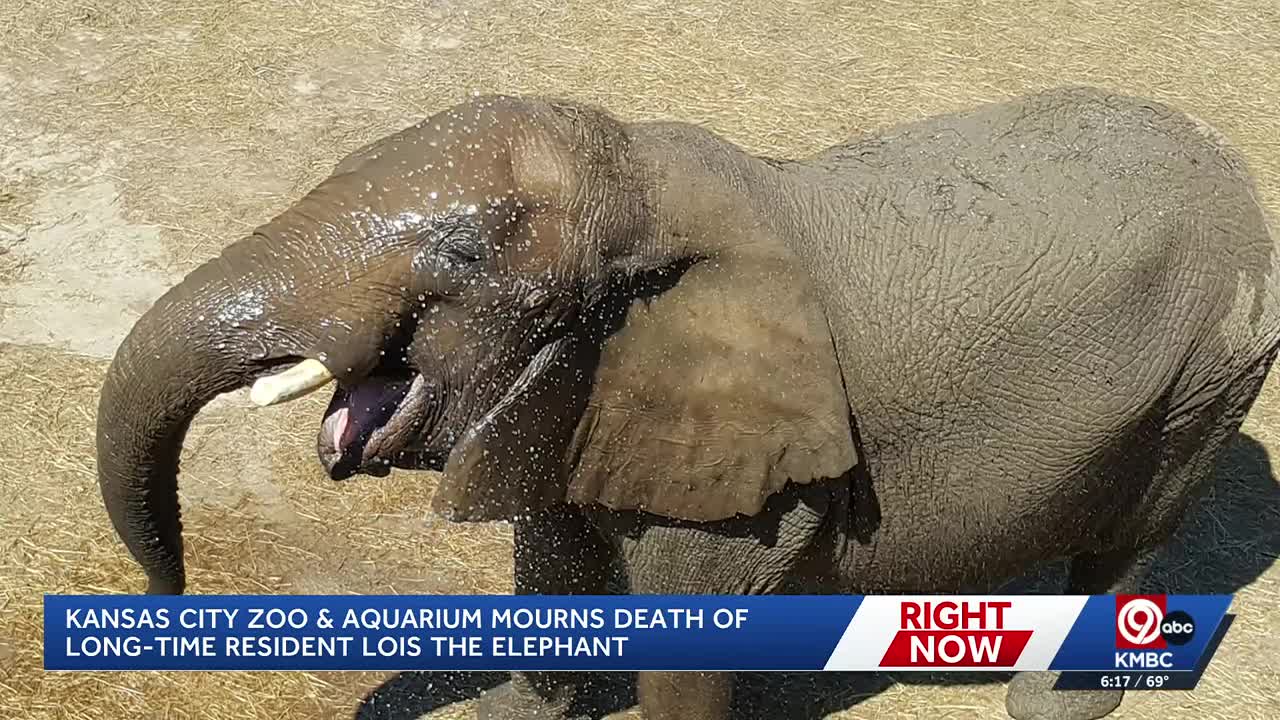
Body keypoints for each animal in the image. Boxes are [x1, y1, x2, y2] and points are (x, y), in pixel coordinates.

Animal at [96, 86, 1279, 720]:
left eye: (463, 254)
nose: (167, 598)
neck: (649, 188)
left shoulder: (746, 476)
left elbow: (691, 636)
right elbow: (551, 562)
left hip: (1208, 376)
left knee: (1134, 531)